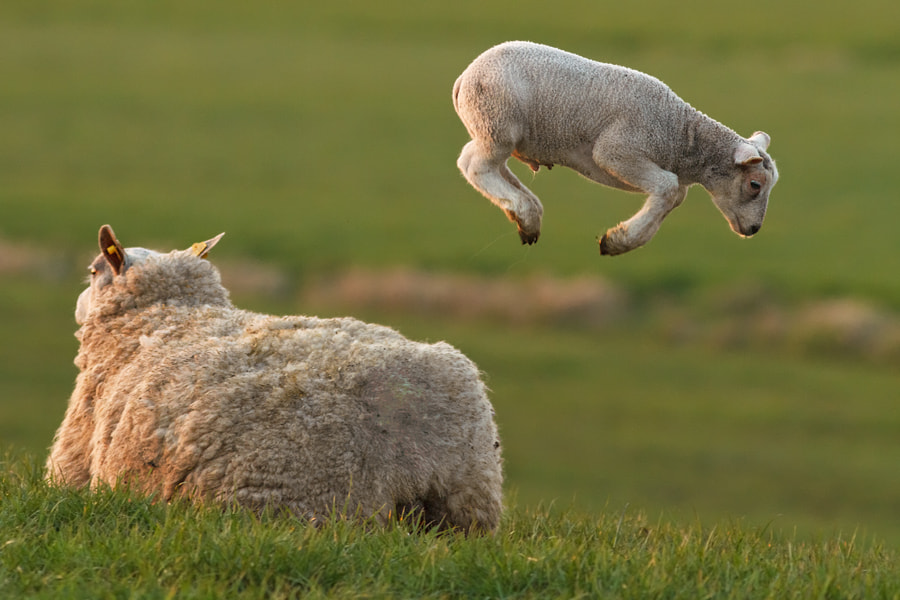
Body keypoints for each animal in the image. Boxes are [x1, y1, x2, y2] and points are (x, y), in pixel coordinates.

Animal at [46, 225, 503, 533]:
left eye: (92, 272)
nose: (76, 304)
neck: (165, 313)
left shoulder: (77, 450)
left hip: (294, 499)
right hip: (466, 506)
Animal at [453, 41, 779, 255]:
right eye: (754, 185)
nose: (754, 229)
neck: (680, 135)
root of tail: (464, 76)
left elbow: (673, 196)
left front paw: (621, 242)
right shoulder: (616, 151)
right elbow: (669, 187)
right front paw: (618, 240)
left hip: (498, 132)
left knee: (485, 163)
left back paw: (527, 212)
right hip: (497, 123)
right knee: (474, 166)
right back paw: (524, 212)